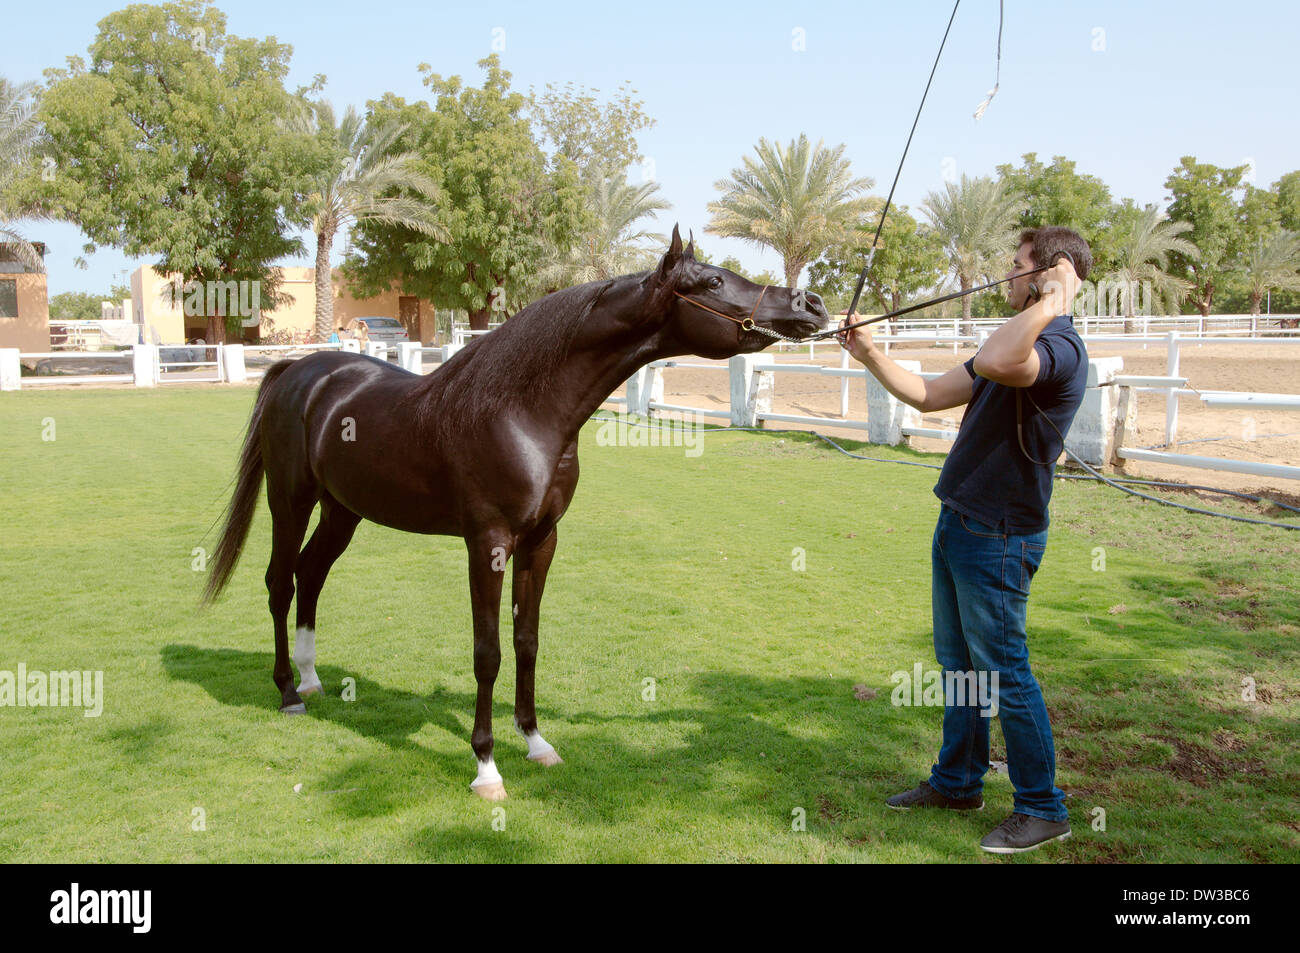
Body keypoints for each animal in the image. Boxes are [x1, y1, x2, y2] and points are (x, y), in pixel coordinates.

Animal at [202, 225, 829, 800]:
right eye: (713, 281)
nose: (812, 304)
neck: (522, 411)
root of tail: (299, 372)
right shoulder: (489, 543)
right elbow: (489, 653)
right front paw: (486, 767)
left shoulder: (542, 541)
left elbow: (527, 641)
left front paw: (535, 741)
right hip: (290, 501)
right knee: (281, 581)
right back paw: (288, 693)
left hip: (343, 511)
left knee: (310, 576)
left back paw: (312, 682)